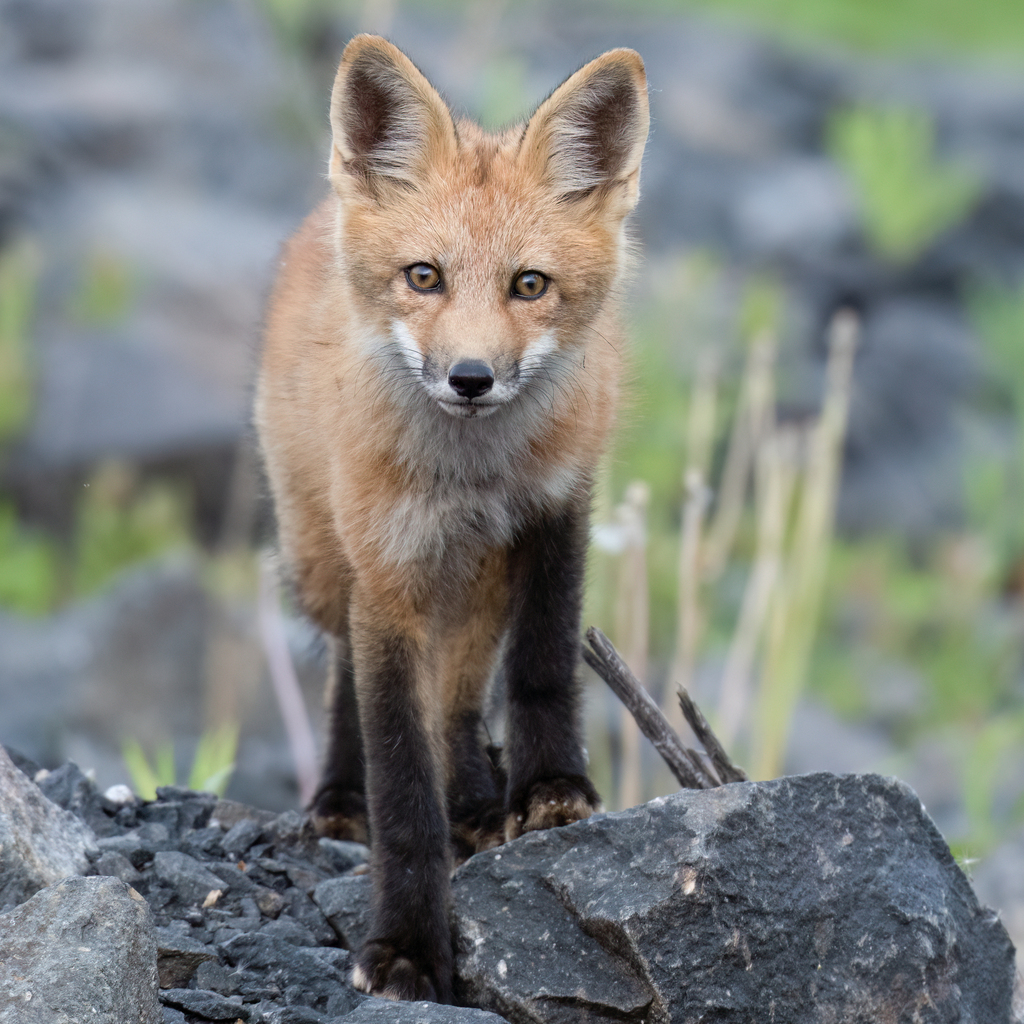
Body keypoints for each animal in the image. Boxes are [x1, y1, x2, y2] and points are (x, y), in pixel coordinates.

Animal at [255, 34, 649, 1003]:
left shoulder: (557, 511)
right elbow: (402, 780)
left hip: (477, 579)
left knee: (464, 695)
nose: (471, 377)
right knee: (348, 675)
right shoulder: (387, 580)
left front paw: (551, 790)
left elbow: (540, 667)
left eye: (529, 284)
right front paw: (407, 946)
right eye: (424, 277)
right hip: (321, 563)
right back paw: (339, 798)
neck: (471, 477)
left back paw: (476, 794)